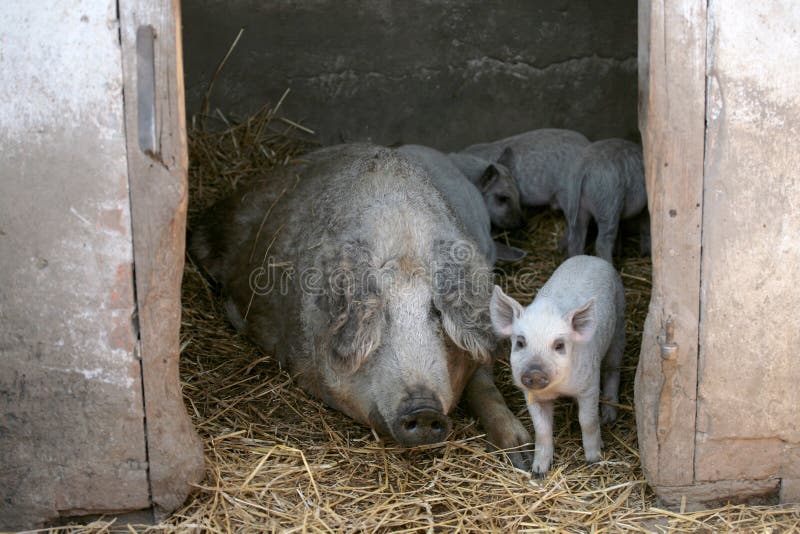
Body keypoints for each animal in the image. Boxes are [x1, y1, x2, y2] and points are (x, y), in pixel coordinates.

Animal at [489, 255, 625, 476]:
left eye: (559, 345)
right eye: (520, 342)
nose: (535, 371)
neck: (558, 389)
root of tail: (592, 257)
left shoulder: (589, 386)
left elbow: (588, 421)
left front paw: (594, 460)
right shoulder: (532, 395)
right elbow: (542, 429)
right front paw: (538, 472)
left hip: (619, 324)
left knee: (613, 369)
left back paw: (609, 417)